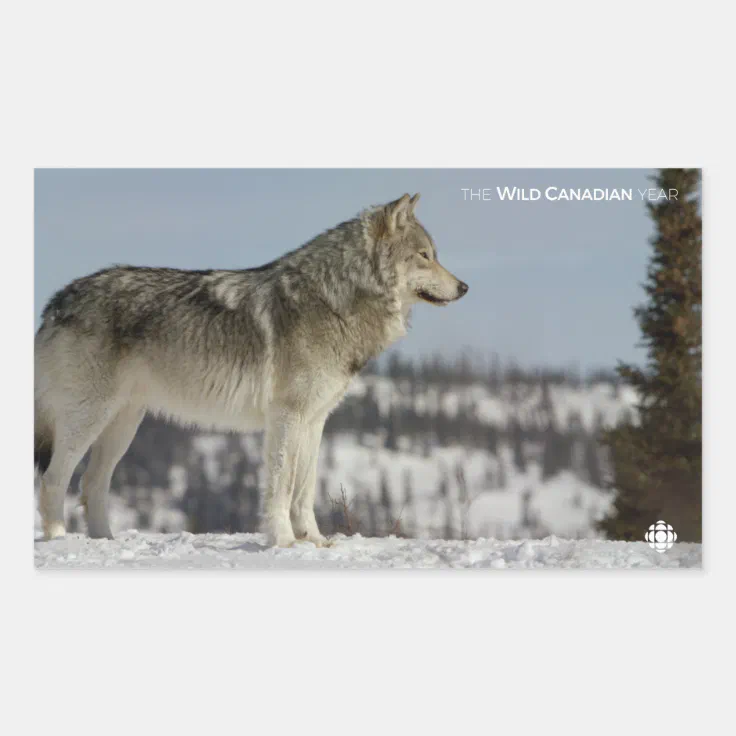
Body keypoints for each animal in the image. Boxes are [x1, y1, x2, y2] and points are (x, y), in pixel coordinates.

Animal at [35, 193, 468, 546]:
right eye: (425, 256)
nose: (464, 287)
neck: (334, 301)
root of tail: (57, 299)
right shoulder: (285, 417)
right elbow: (280, 487)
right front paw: (283, 541)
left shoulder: (315, 420)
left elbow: (304, 490)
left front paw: (314, 540)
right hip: (90, 419)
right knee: (54, 479)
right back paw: (60, 540)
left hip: (124, 424)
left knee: (91, 483)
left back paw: (105, 542)